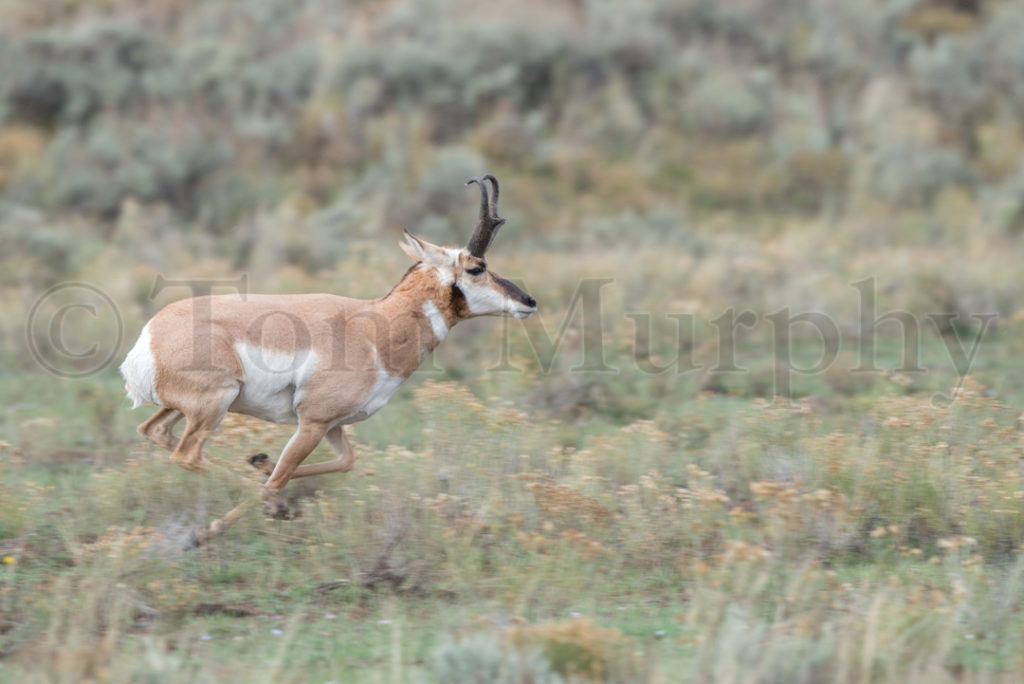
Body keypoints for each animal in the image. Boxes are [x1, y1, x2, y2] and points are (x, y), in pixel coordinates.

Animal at [120, 175, 536, 544]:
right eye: (476, 267)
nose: (529, 301)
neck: (374, 325)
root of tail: (151, 335)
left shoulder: (334, 426)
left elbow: (346, 462)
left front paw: (260, 462)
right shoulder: (312, 423)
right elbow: (281, 477)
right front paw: (244, 512)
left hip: (188, 410)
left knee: (154, 431)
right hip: (215, 406)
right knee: (186, 456)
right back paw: (229, 524)